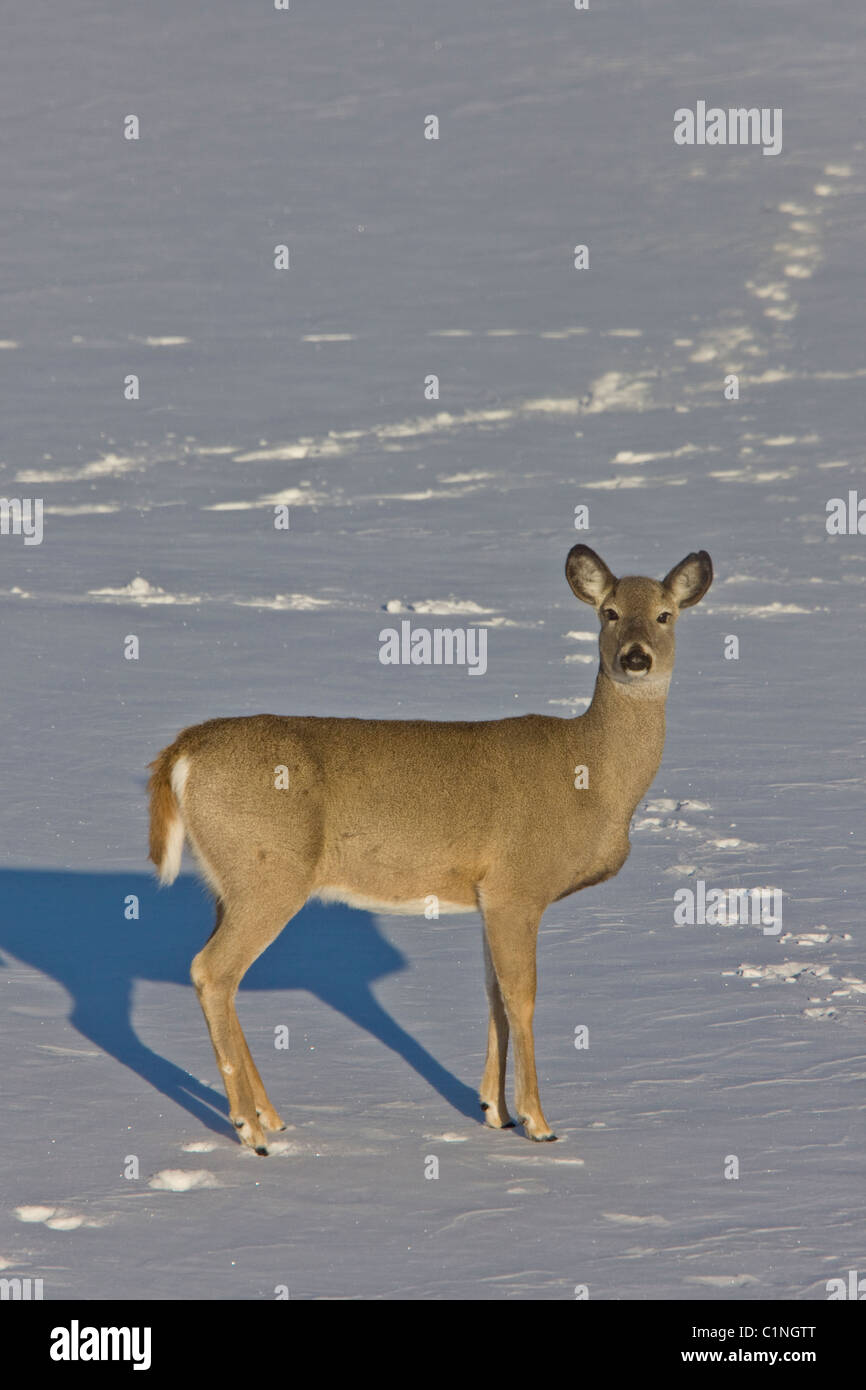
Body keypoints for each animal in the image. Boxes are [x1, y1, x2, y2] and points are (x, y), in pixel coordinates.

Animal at [148, 544, 712, 1153]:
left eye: (664, 615)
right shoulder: (518, 885)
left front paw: (495, 1112)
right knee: (212, 970)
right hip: (269, 874)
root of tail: (183, 751)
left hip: (228, 883)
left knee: (220, 977)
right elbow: (522, 997)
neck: (591, 777)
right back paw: (250, 1130)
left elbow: (493, 995)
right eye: (609, 612)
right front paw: (538, 1123)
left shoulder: (488, 895)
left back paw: (270, 1117)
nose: (635, 657)